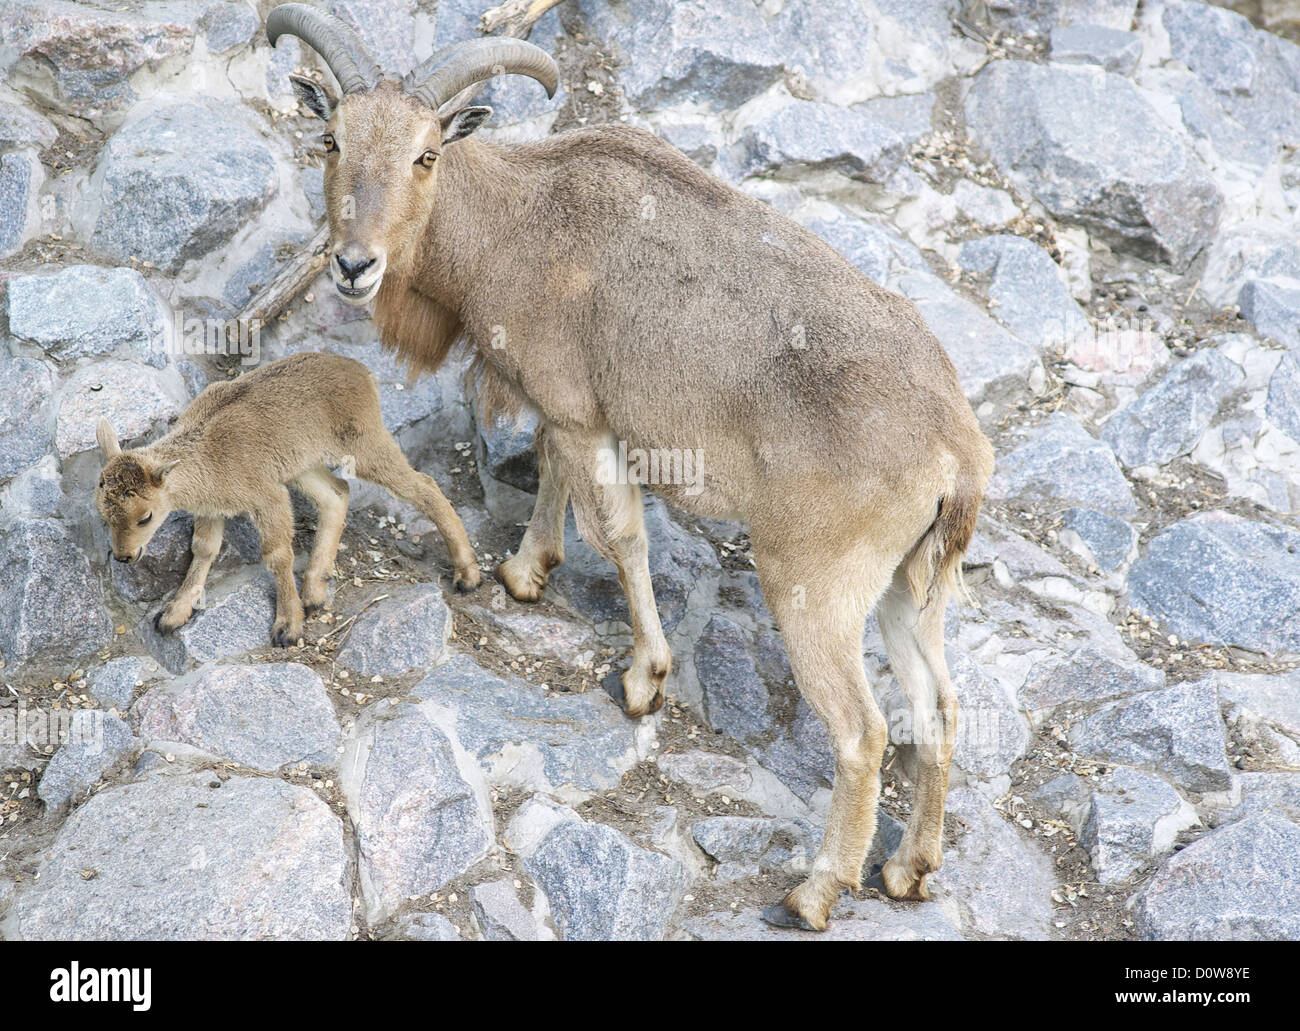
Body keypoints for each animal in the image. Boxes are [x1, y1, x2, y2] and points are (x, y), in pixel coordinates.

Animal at [94, 351, 480, 647]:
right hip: (302, 466)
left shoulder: (269, 497)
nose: (125, 555)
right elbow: (204, 549)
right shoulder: (215, 509)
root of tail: (360, 371)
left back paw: (467, 575)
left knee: (423, 486)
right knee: (337, 495)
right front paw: (173, 614)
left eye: (145, 517)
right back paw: (313, 591)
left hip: (364, 445)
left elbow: (278, 555)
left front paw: (287, 627)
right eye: (104, 515)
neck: (207, 455)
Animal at [266, 4, 995, 932]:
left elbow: (617, 531)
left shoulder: (584, 413)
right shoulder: (571, 411)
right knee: (940, 707)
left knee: (863, 731)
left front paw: (643, 678)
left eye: (427, 153)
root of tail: (956, 450)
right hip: (911, 583)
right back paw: (909, 868)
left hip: (815, 582)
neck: (522, 219)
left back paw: (816, 888)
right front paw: (525, 571)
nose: (354, 265)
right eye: (332, 138)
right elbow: (551, 469)